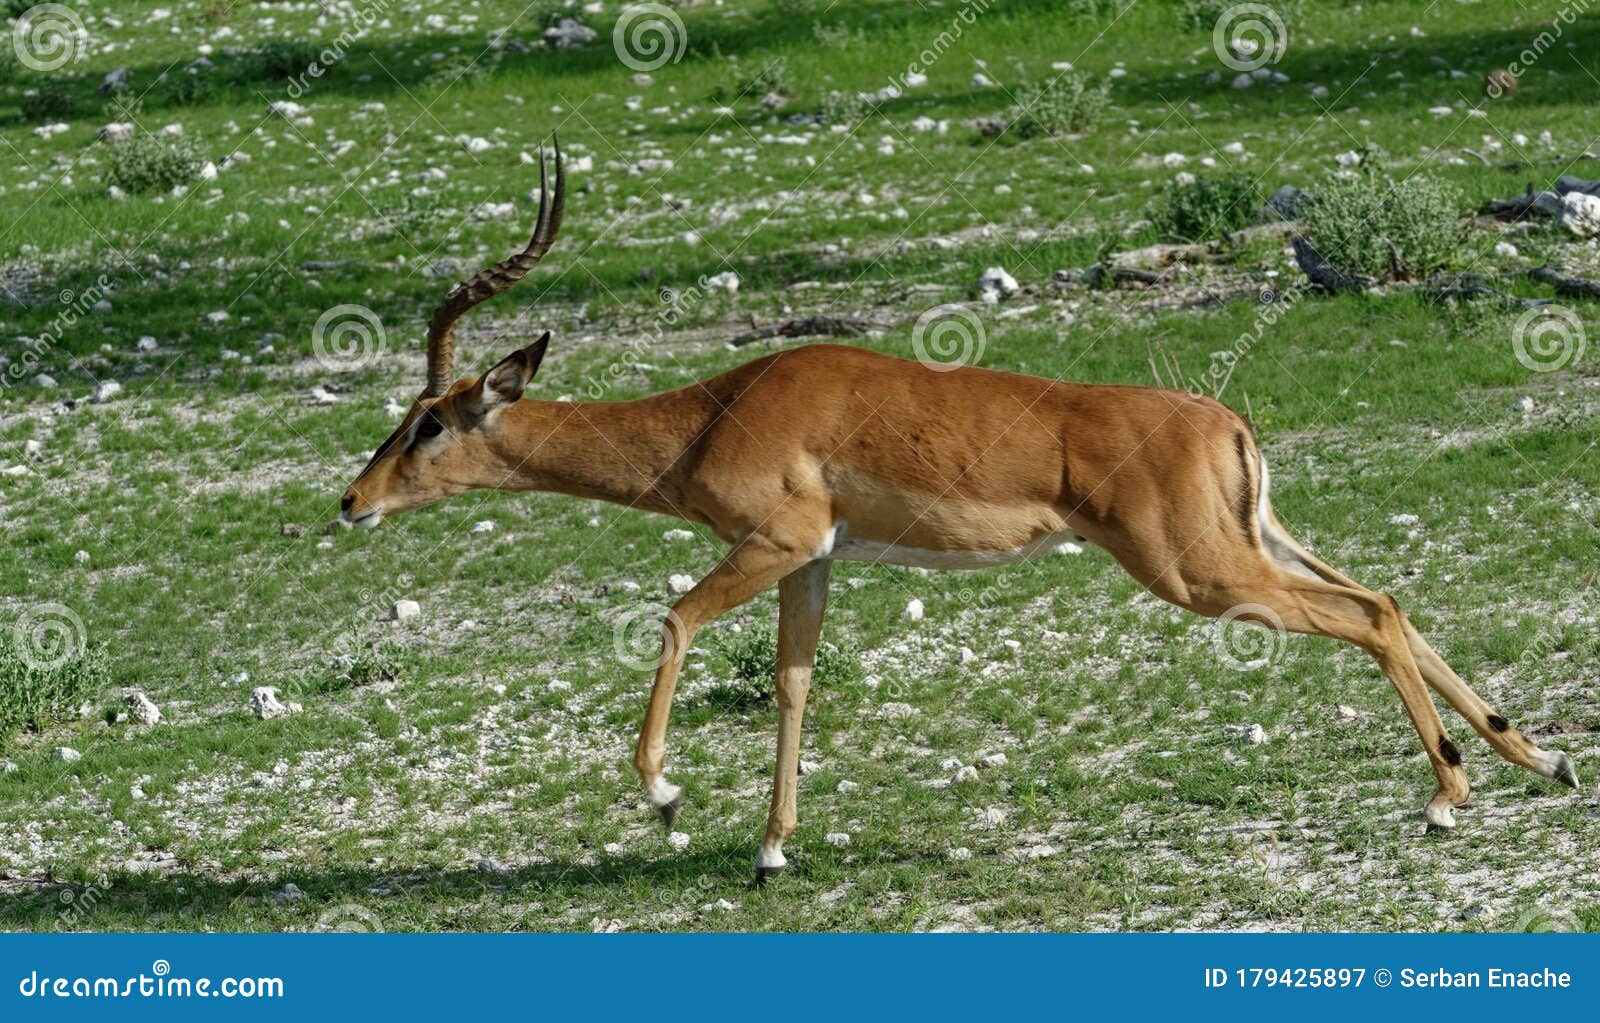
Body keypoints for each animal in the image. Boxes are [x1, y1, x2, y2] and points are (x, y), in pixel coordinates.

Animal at [340, 137, 1579, 883]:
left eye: (428, 422)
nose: (351, 500)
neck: (715, 412)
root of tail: (1220, 419)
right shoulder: (814, 560)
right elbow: (792, 683)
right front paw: (771, 851)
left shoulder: (774, 540)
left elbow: (676, 620)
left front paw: (665, 798)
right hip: (1253, 542)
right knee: (1387, 596)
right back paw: (1538, 761)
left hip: (1199, 573)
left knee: (1364, 618)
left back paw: (1447, 801)